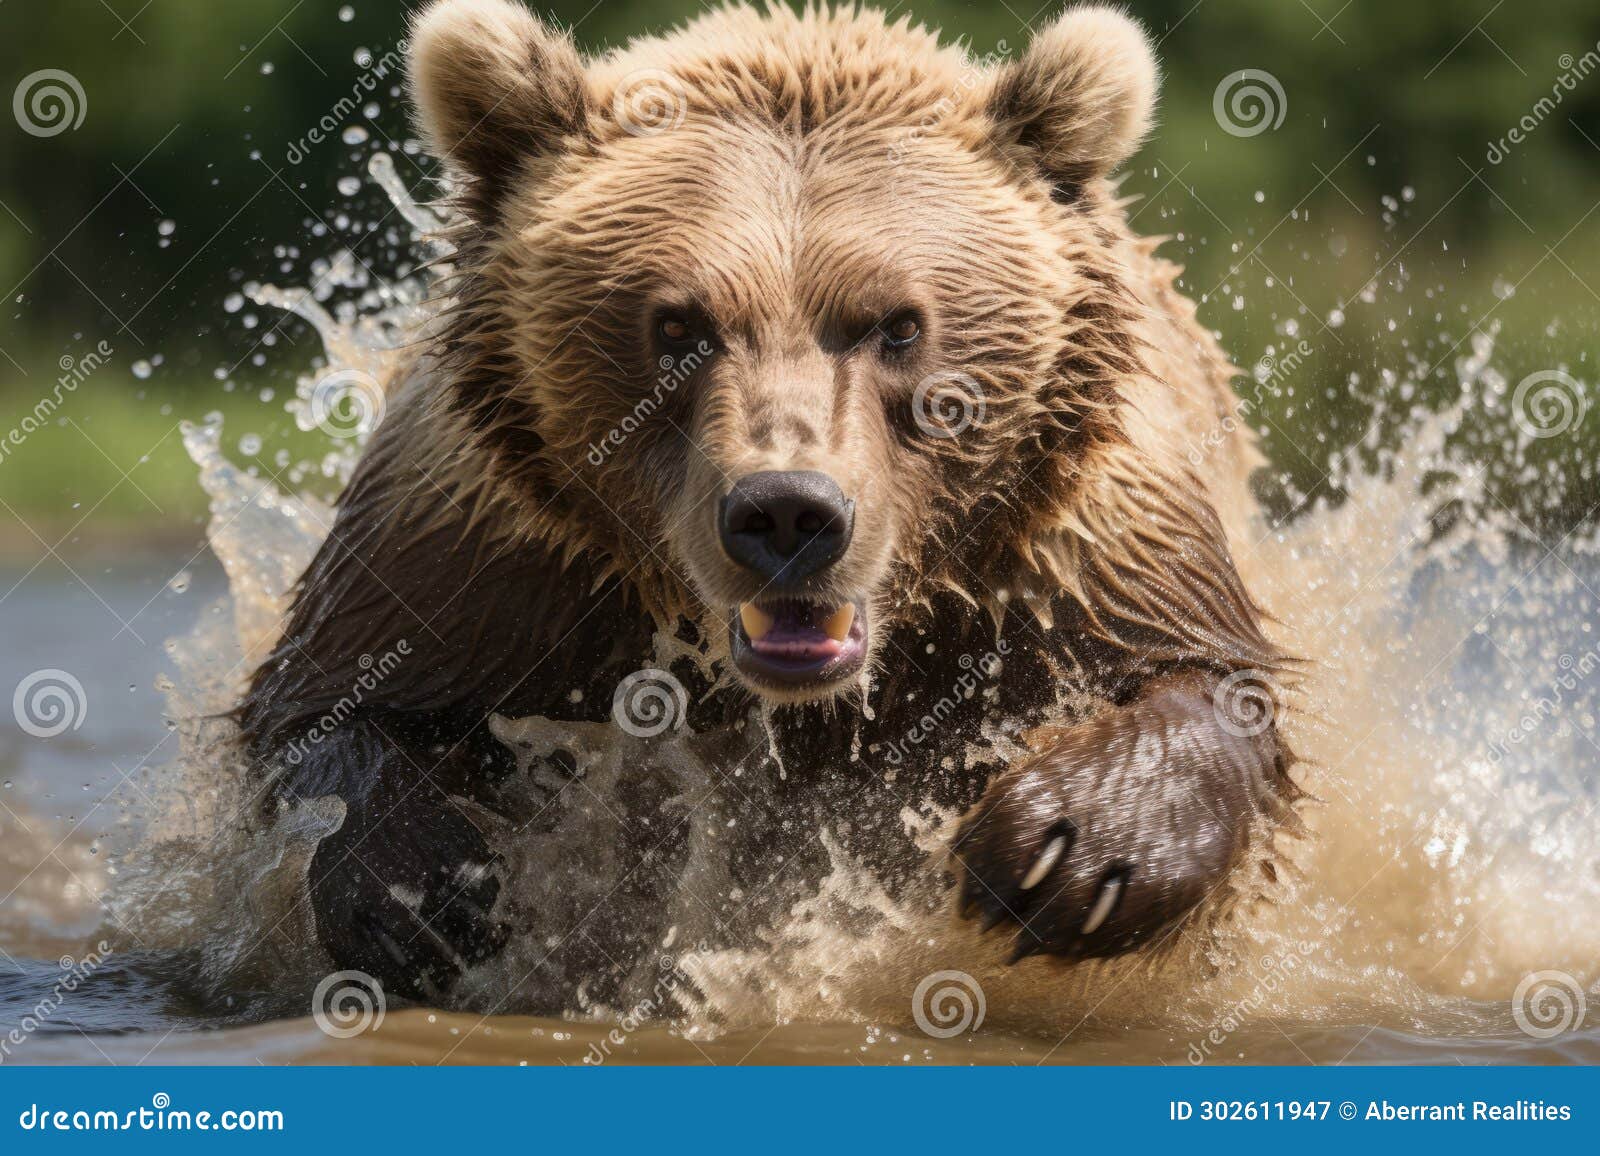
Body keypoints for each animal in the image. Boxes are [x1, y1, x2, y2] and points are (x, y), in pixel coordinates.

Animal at [237, 0, 1298, 1006]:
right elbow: (331, 700)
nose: (788, 513)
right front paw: (420, 887)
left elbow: (1205, 672)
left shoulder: (1074, 533)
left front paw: (1068, 852)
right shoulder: (485, 541)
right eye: (678, 326)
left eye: (897, 324)